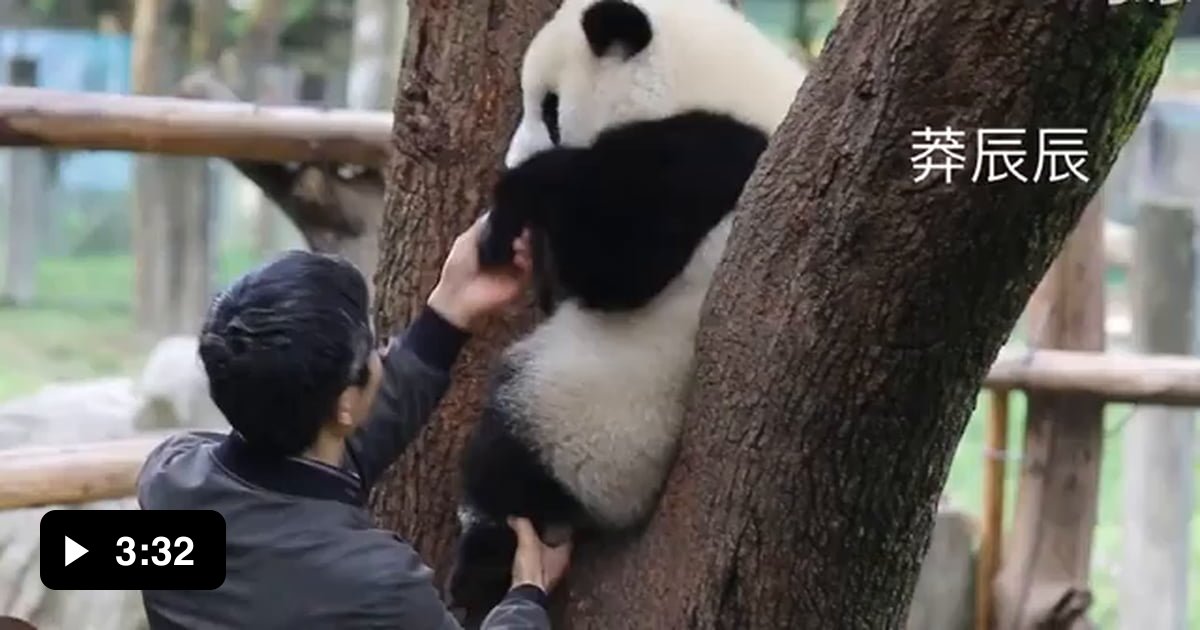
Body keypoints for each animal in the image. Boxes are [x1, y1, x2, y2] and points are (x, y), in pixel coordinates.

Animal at [448, 0, 806, 616]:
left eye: (550, 107)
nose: (514, 155)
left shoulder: (709, 154)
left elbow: (617, 265)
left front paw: (520, 191)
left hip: (596, 424)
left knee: (512, 450)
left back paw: (486, 559)